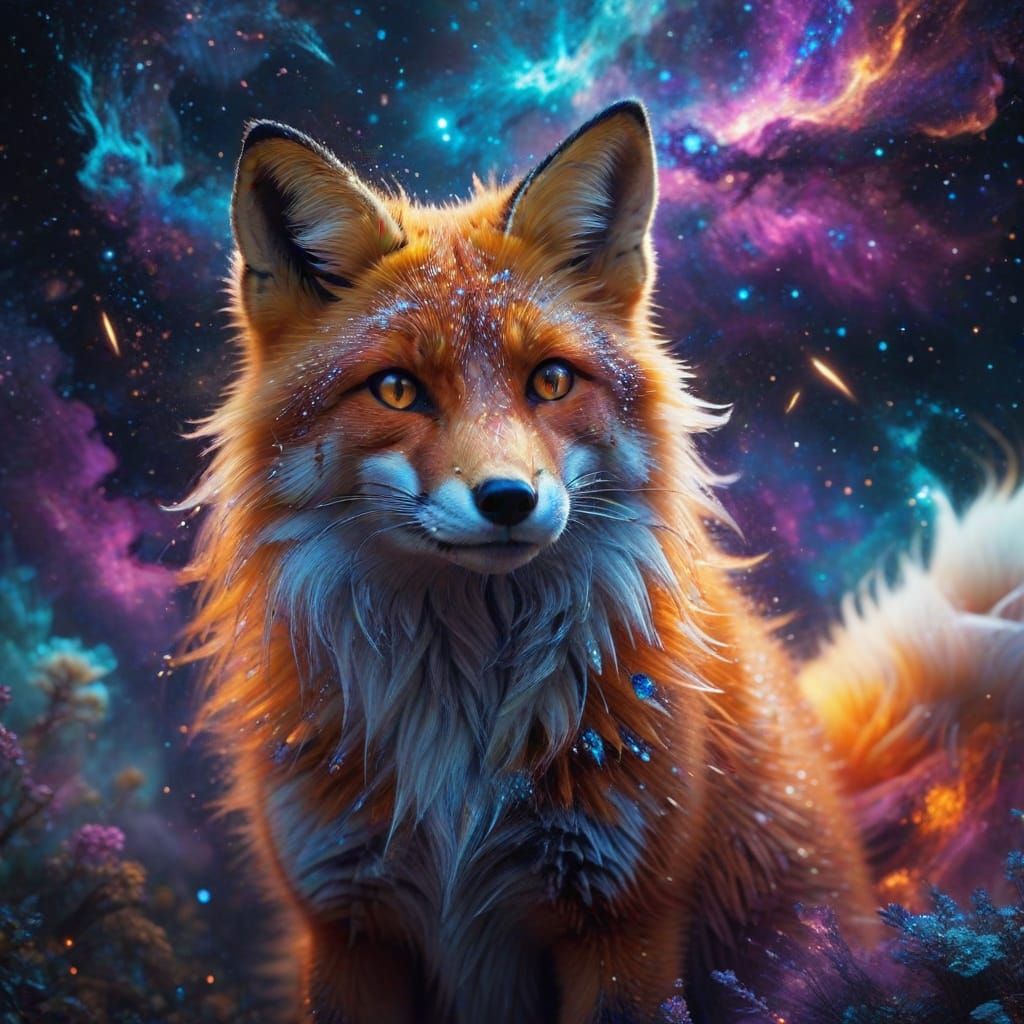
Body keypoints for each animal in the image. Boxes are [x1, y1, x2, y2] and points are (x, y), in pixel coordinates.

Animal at [182, 100, 1024, 1023]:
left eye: (550, 381)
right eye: (398, 389)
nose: (508, 498)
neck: (462, 735)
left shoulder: (624, 920)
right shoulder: (347, 925)